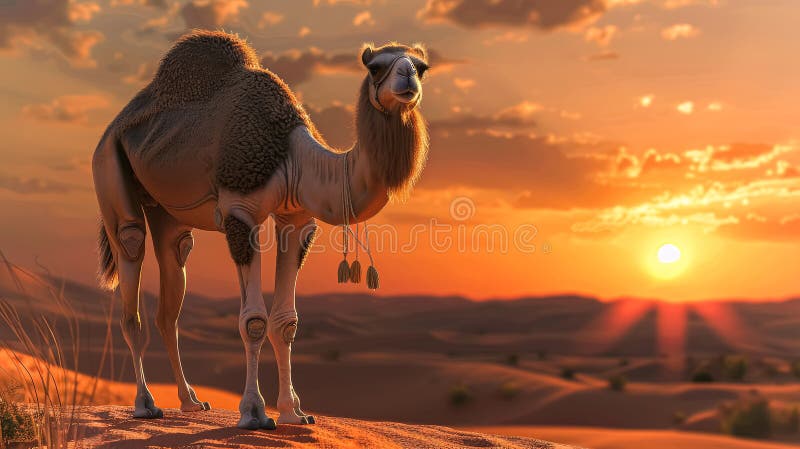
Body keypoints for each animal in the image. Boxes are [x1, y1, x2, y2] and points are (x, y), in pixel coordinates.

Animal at [91, 30, 429, 429]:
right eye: (376, 67)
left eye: (422, 66)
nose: (407, 79)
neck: (294, 154)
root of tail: (116, 122)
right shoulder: (241, 210)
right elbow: (254, 321)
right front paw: (253, 412)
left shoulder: (297, 220)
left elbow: (286, 323)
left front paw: (294, 412)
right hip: (108, 164)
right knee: (130, 256)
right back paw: (145, 404)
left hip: (165, 206)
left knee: (172, 276)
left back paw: (191, 402)